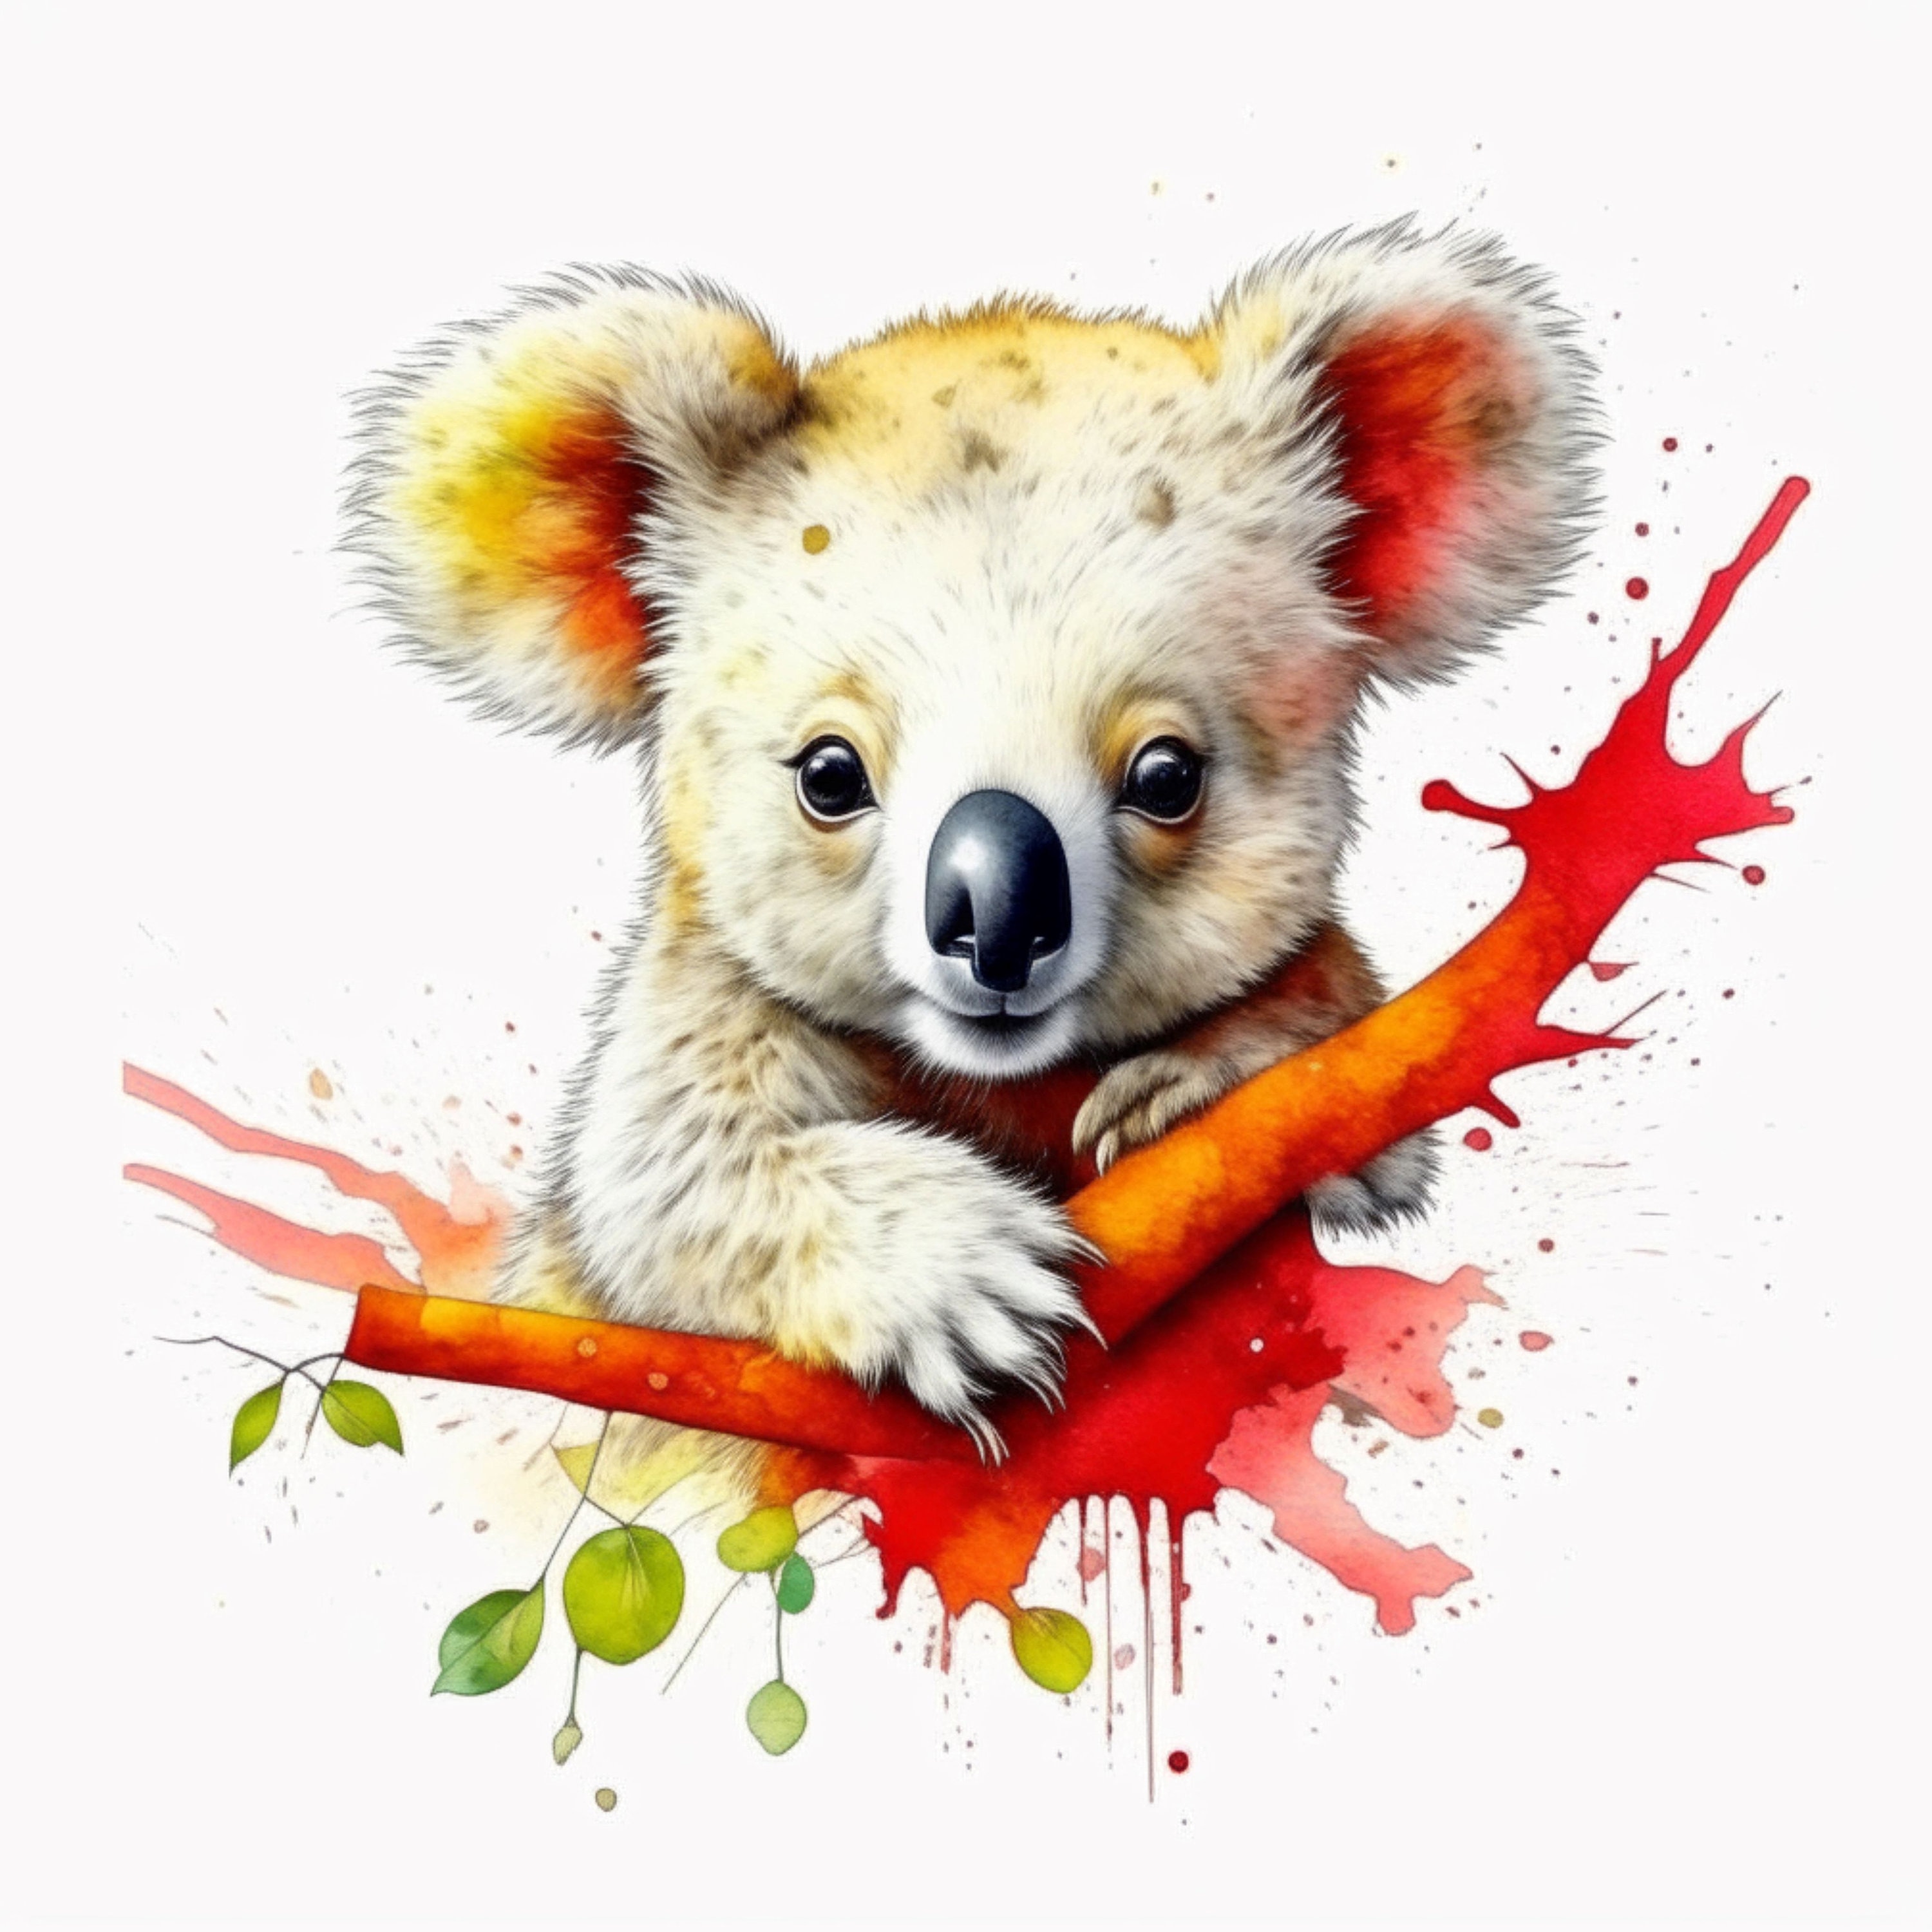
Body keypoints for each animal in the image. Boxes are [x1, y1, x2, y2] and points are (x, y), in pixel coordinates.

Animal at [347, 219, 1594, 1464]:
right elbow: (664, 1183)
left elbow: (1362, 1112)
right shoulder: (700, 1023)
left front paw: (1200, 1094)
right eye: (830, 776)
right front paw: (962, 1281)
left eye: (1167, 776)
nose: (998, 925)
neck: (1008, 1088)